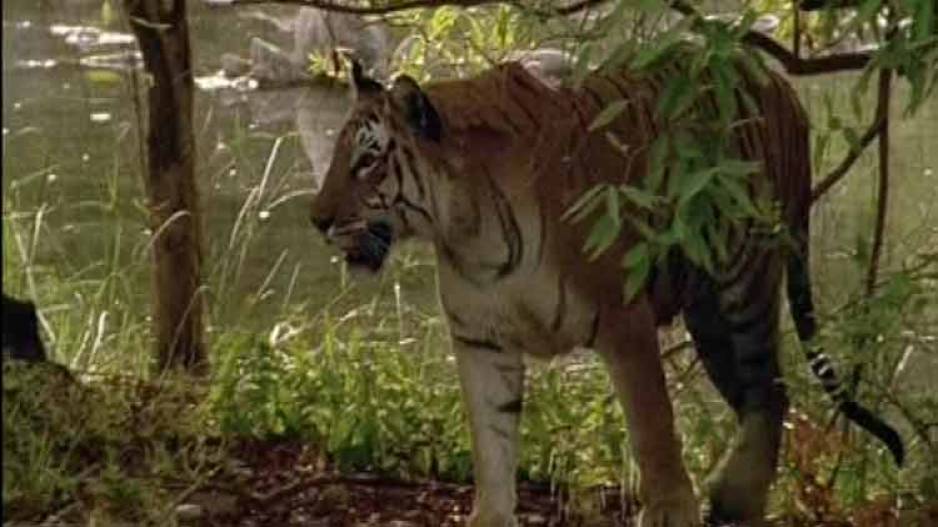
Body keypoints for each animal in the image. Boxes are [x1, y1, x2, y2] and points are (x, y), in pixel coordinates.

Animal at [308, 57, 904, 526]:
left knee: (769, 389)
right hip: (709, 318)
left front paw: (669, 512)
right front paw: (491, 516)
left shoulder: (623, 325)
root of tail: (777, 81)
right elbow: (492, 445)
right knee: (763, 399)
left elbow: (653, 428)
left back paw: (737, 499)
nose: (317, 220)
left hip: (746, 282)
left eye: (367, 160)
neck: (466, 228)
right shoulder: (482, 340)